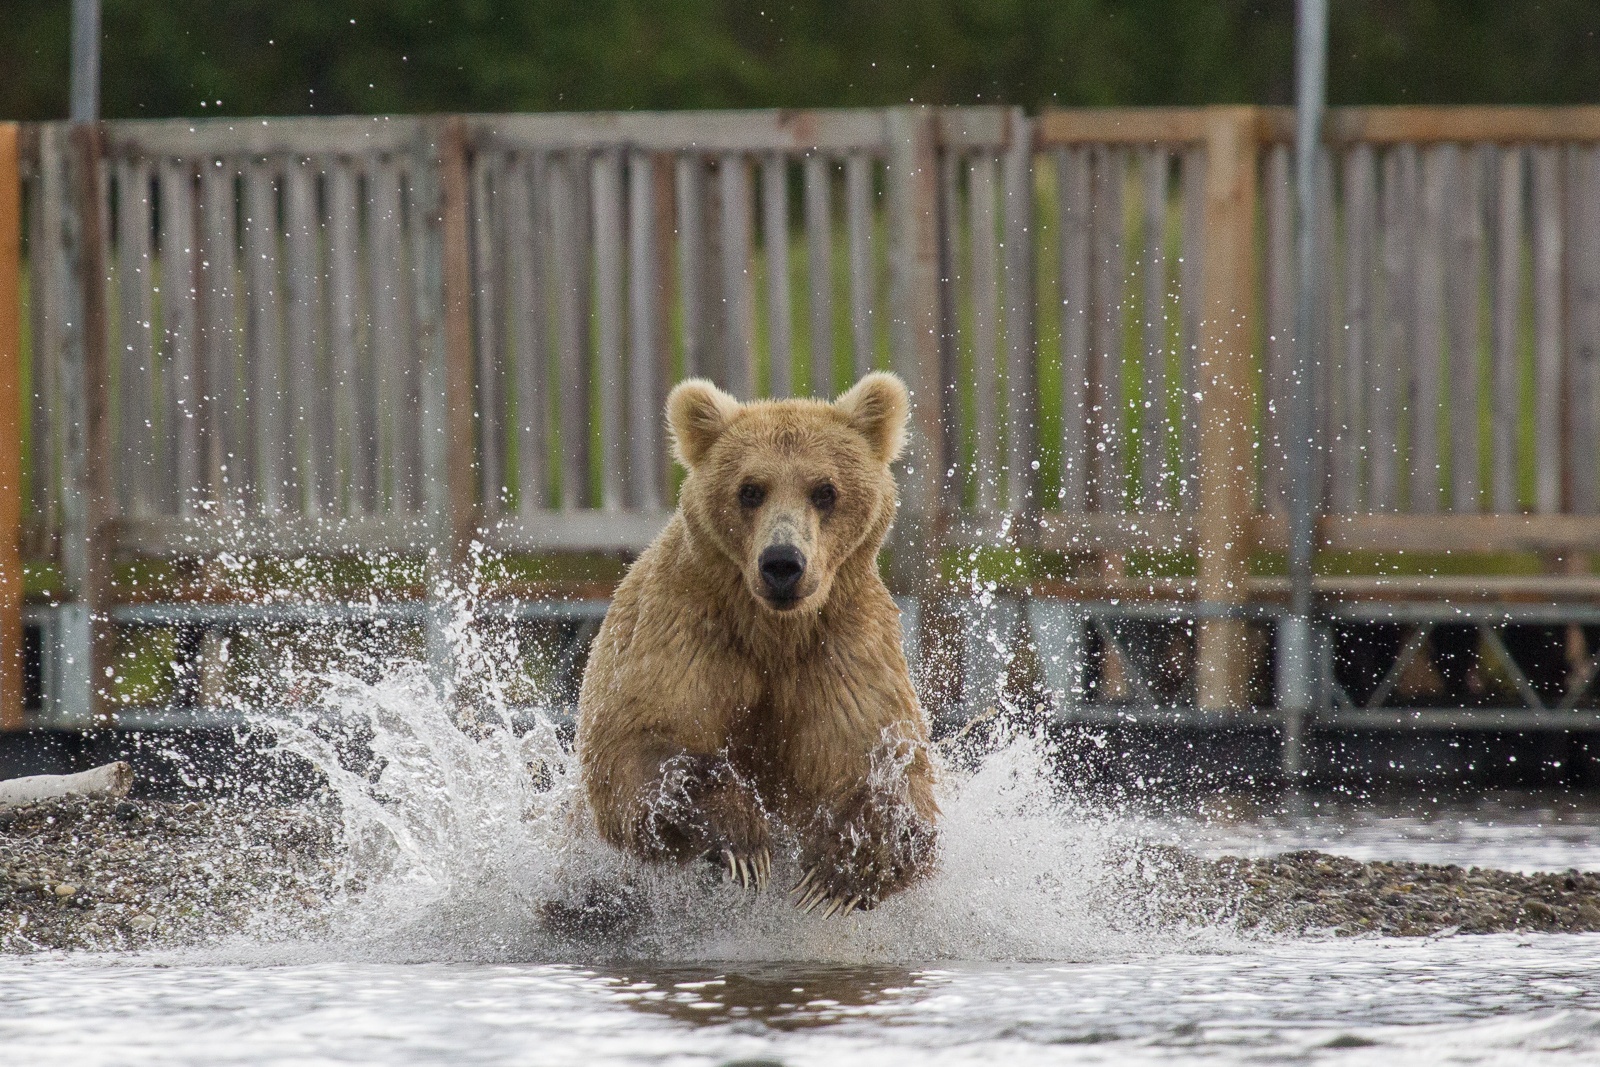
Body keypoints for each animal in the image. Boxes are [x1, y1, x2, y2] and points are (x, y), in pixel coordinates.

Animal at [576, 371, 939, 918]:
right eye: (750, 490)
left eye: (825, 490)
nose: (782, 563)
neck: (774, 633)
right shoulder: (687, 634)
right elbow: (637, 747)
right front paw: (744, 843)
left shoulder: (844, 652)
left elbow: (892, 773)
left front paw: (834, 877)